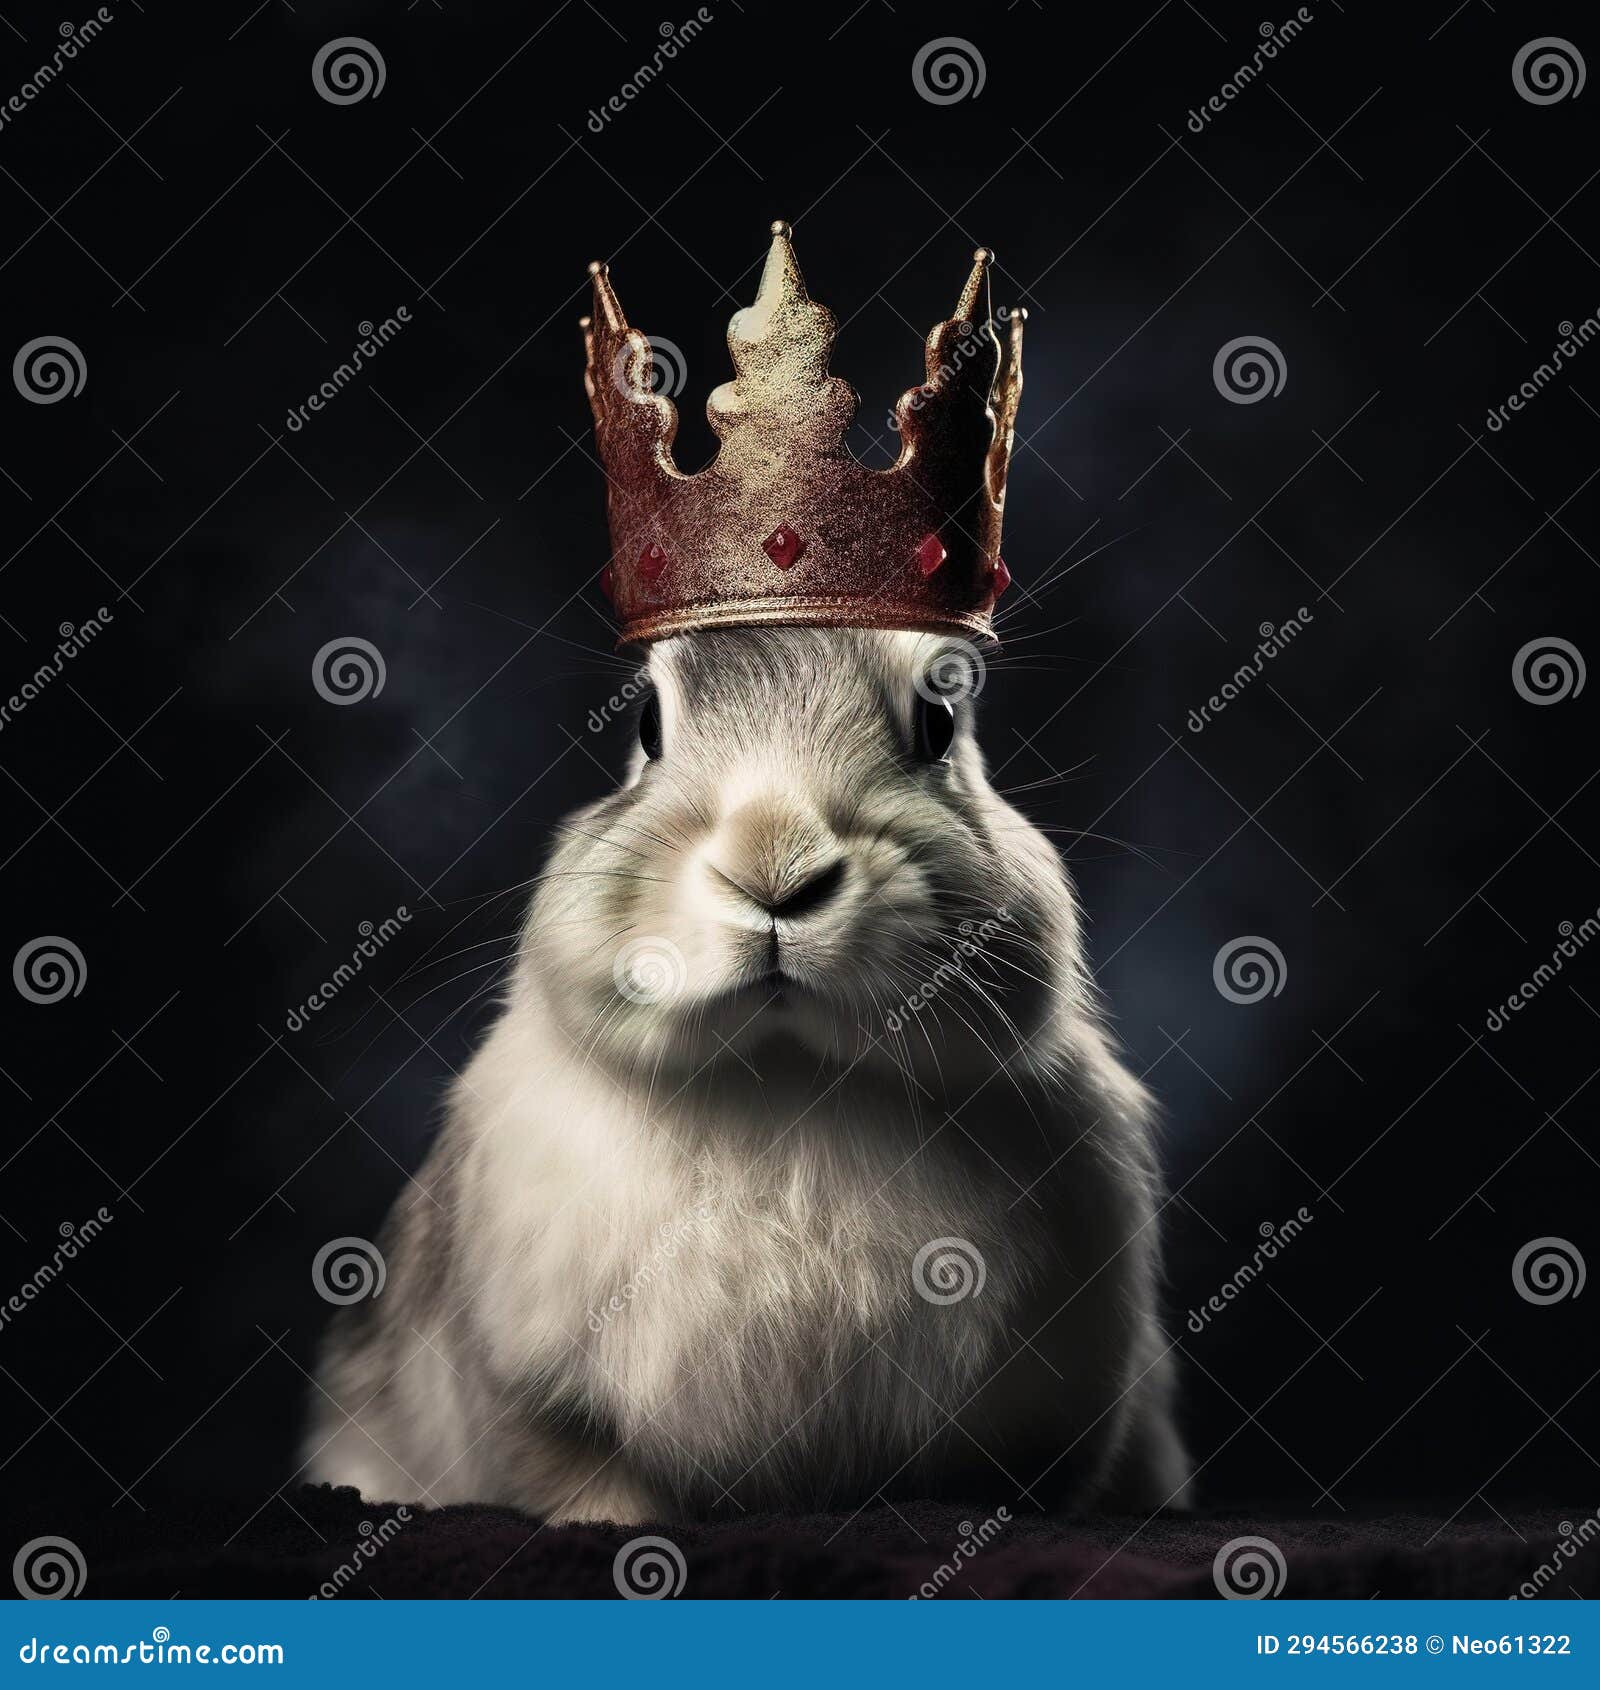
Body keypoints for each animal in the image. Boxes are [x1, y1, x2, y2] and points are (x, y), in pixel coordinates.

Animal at [303, 625, 1193, 1524]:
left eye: (938, 724)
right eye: (648, 724)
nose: (775, 869)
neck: (787, 1072)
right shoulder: (537, 1398)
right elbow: (586, 1485)